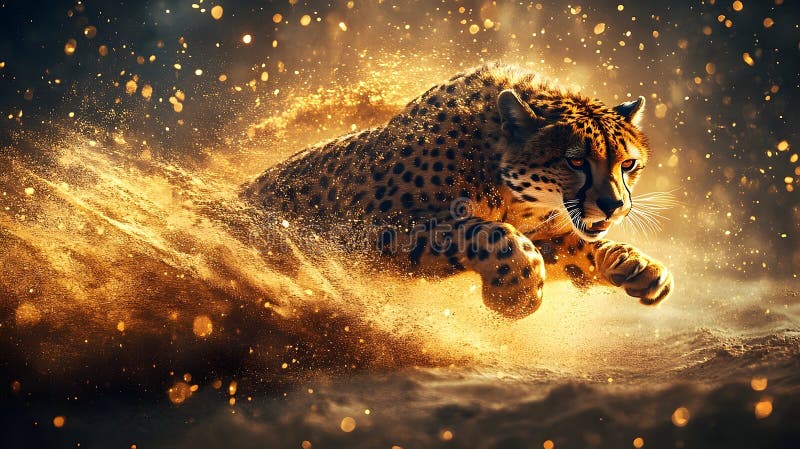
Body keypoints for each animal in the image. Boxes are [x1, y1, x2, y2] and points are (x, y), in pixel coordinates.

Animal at [242, 63, 673, 319]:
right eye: (577, 162)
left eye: (628, 164)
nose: (615, 206)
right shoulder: (374, 230)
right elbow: (492, 234)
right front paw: (516, 296)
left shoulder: (549, 232)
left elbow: (573, 246)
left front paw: (638, 266)